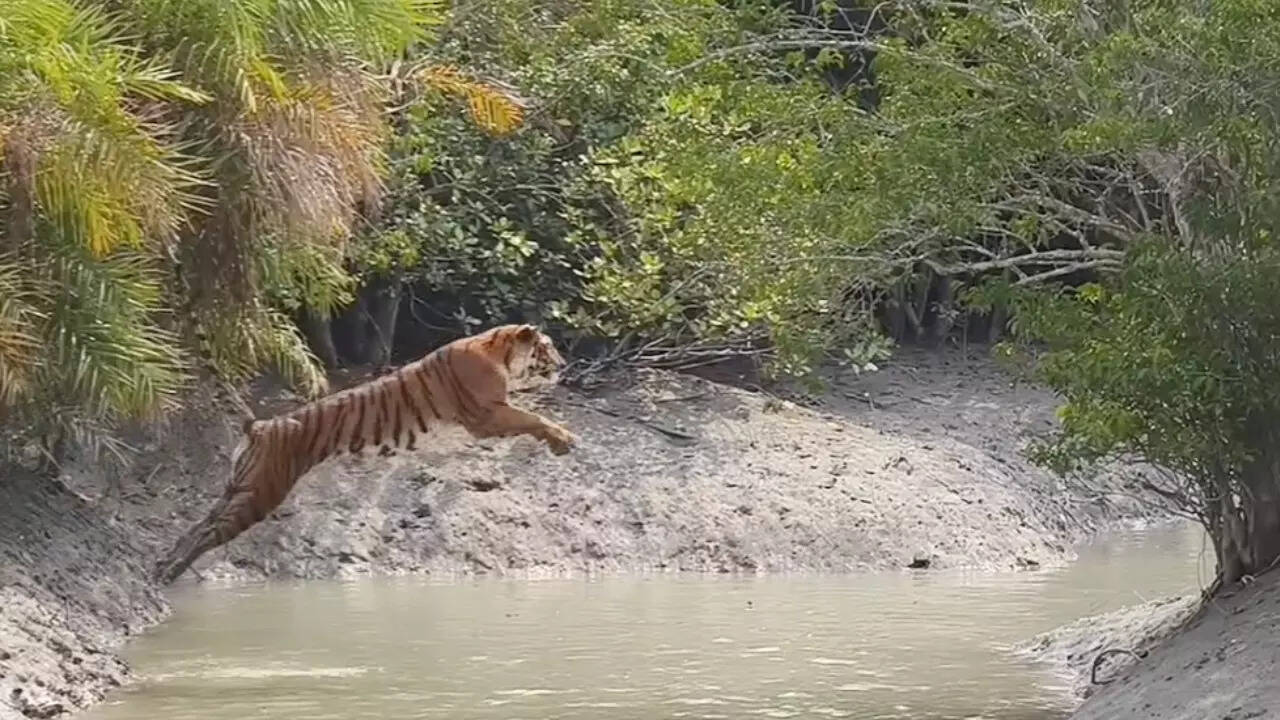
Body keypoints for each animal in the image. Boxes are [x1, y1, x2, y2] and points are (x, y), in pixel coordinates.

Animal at [154, 323, 575, 584]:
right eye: (548, 347)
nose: (563, 365)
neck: (499, 352)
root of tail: (259, 425)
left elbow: (531, 417)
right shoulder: (487, 413)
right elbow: (534, 417)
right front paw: (564, 440)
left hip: (238, 487)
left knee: (197, 525)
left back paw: (162, 564)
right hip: (262, 493)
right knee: (209, 532)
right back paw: (172, 571)